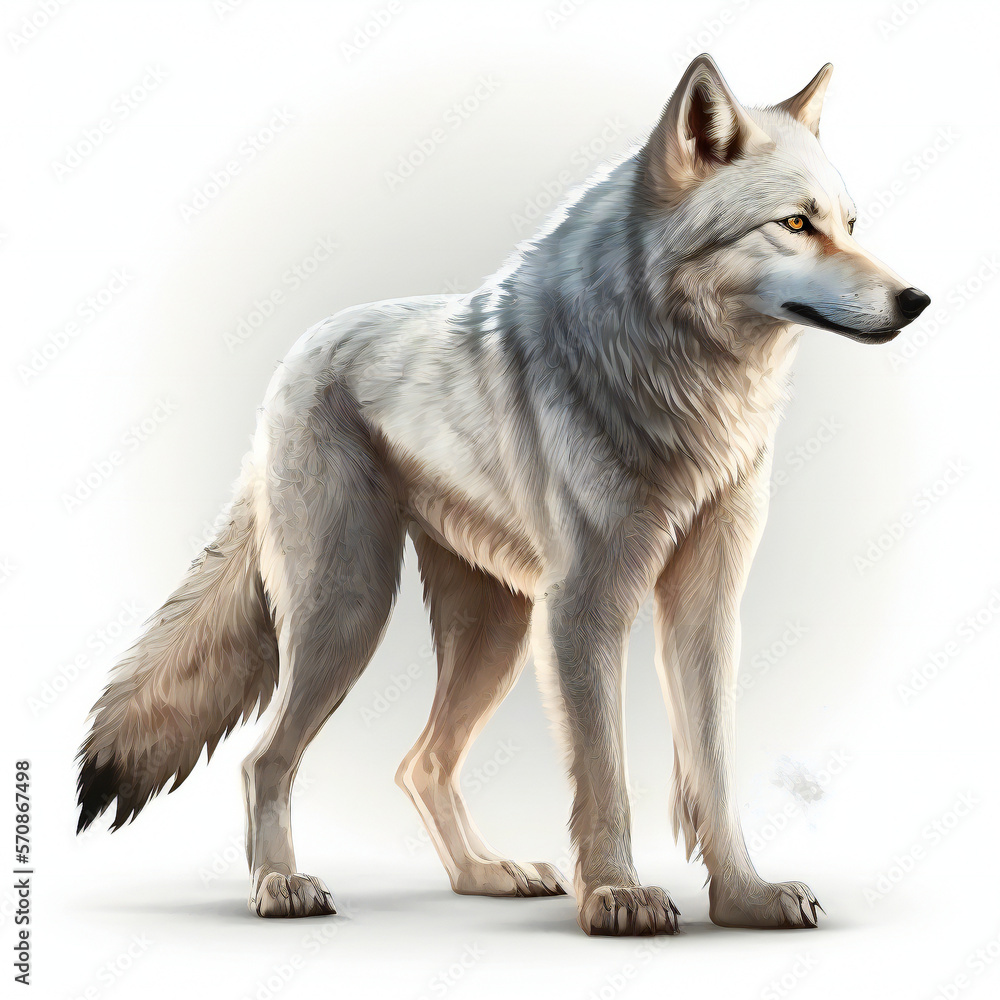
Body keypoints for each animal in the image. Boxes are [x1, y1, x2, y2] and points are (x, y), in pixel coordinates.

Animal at [77, 55, 929, 935]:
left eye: (851, 225)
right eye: (795, 224)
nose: (916, 300)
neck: (676, 376)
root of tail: (294, 358)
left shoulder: (704, 605)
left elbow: (713, 766)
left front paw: (744, 898)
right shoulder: (584, 607)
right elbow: (606, 773)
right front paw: (618, 895)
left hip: (494, 633)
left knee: (418, 764)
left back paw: (486, 874)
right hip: (349, 613)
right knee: (263, 759)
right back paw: (282, 886)